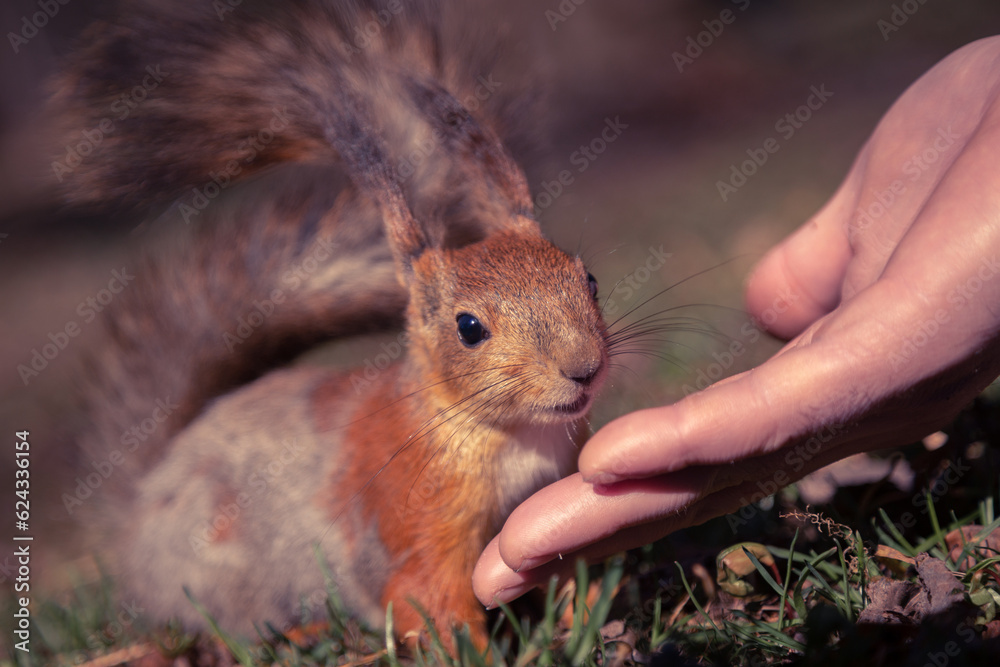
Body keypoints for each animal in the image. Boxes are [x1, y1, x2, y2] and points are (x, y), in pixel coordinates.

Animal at [56, 0, 611, 651]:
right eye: (469, 327)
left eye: (588, 279)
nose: (584, 369)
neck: (512, 437)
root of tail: (141, 508)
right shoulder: (410, 525)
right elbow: (429, 597)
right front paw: (475, 655)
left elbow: (568, 566)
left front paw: (593, 618)